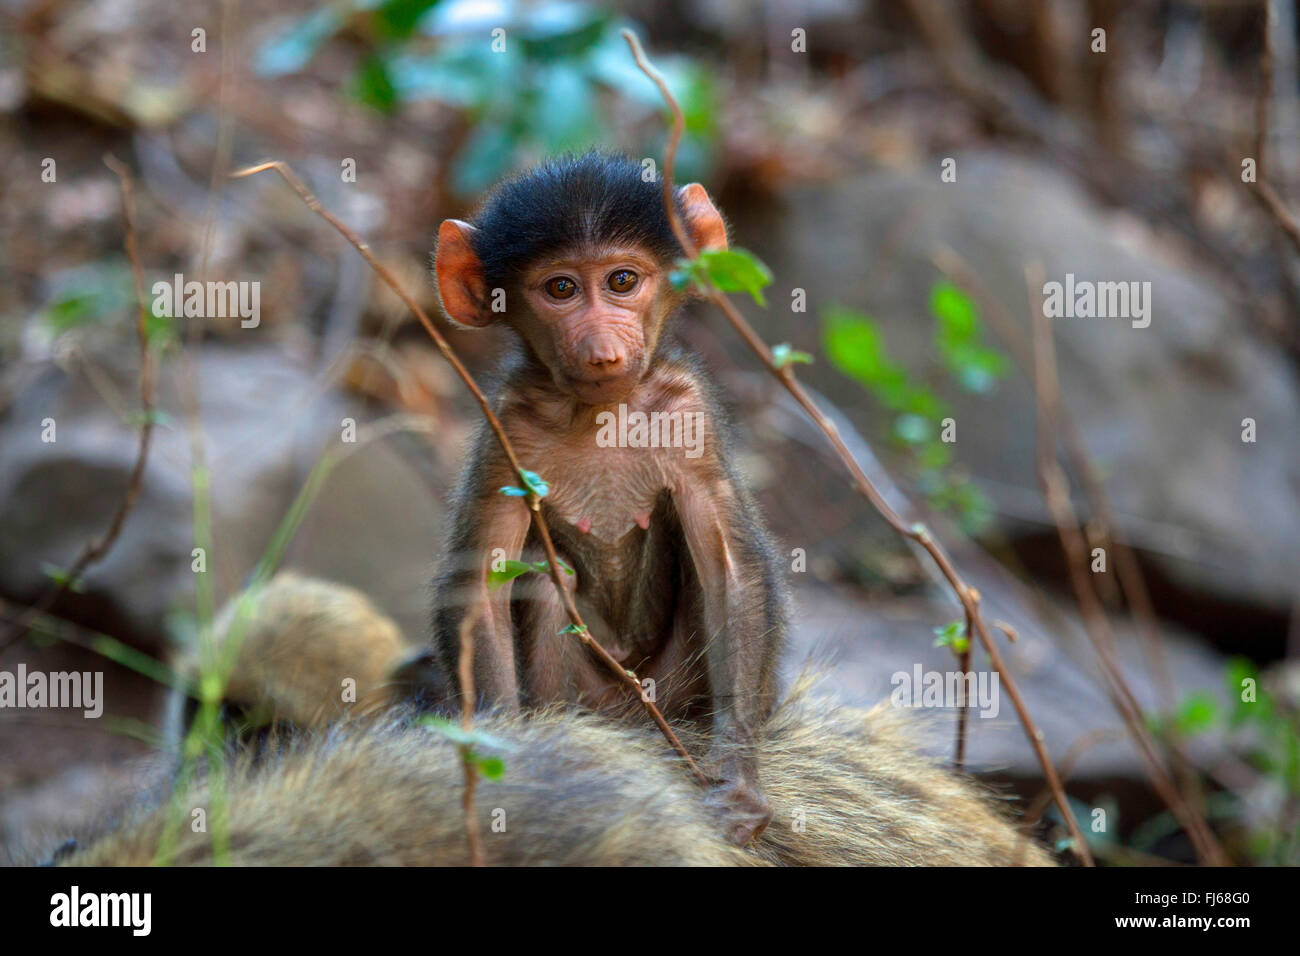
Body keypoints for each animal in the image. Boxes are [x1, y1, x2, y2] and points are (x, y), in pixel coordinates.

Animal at [429, 150, 786, 845]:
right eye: (561, 290)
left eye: (622, 280)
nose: (602, 349)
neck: (602, 412)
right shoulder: (508, 425)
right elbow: (479, 584)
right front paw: (518, 771)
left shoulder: (687, 408)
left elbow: (729, 570)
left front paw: (739, 788)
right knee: (549, 578)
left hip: (668, 697)